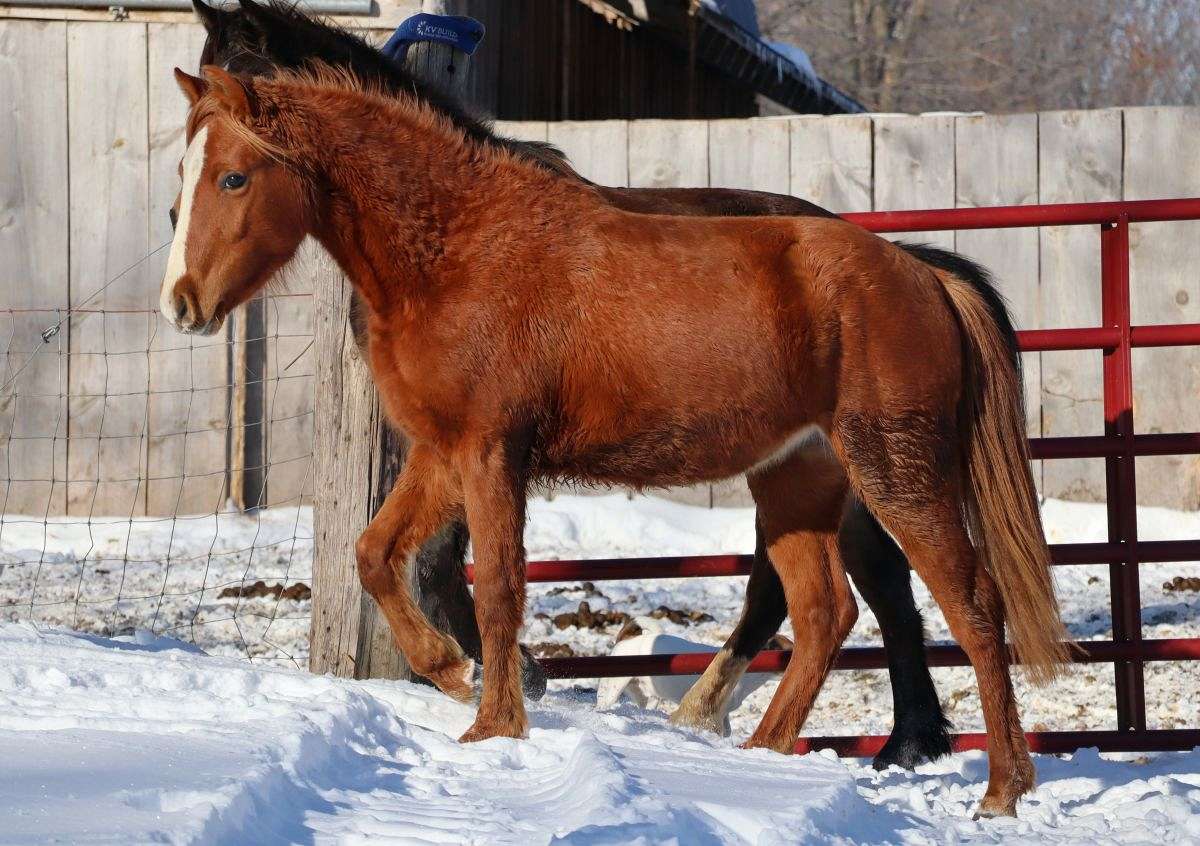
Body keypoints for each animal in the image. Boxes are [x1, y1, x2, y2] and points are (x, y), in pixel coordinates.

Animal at [162, 65, 1070, 817]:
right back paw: (758, 754)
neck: (456, 248)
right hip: (796, 479)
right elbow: (375, 554)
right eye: (183, 179)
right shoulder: (443, 451)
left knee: (971, 606)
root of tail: (921, 273)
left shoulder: (492, 451)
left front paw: (494, 727)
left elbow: (498, 587)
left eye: (233, 176)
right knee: (823, 611)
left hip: (895, 471)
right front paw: (450, 673)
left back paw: (1000, 790)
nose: (180, 302)